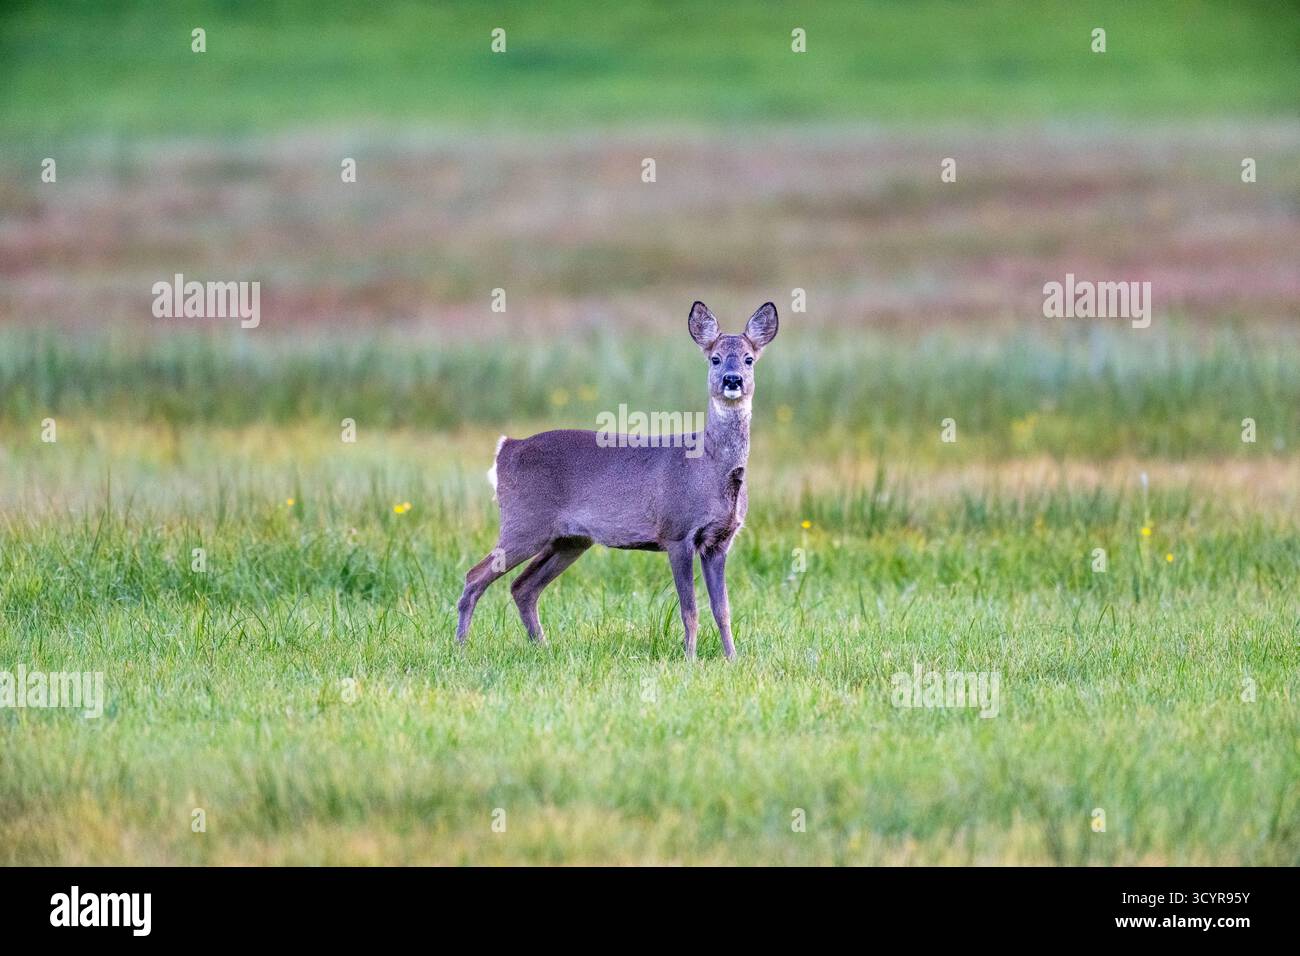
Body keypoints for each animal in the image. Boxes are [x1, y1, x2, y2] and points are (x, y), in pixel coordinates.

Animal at [455, 301, 779, 659]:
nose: (732, 380)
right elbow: (690, 608)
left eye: (749, 358)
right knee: (474, 576)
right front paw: (690, 659)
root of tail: (506, 448)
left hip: (569, 540)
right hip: (524, 523)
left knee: (522, 586)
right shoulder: (677, 533)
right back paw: (460, 647)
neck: (709, 467)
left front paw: (732, 659)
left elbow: (722, 609)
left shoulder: (719, 542)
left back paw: (543, 647)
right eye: (715, 358)